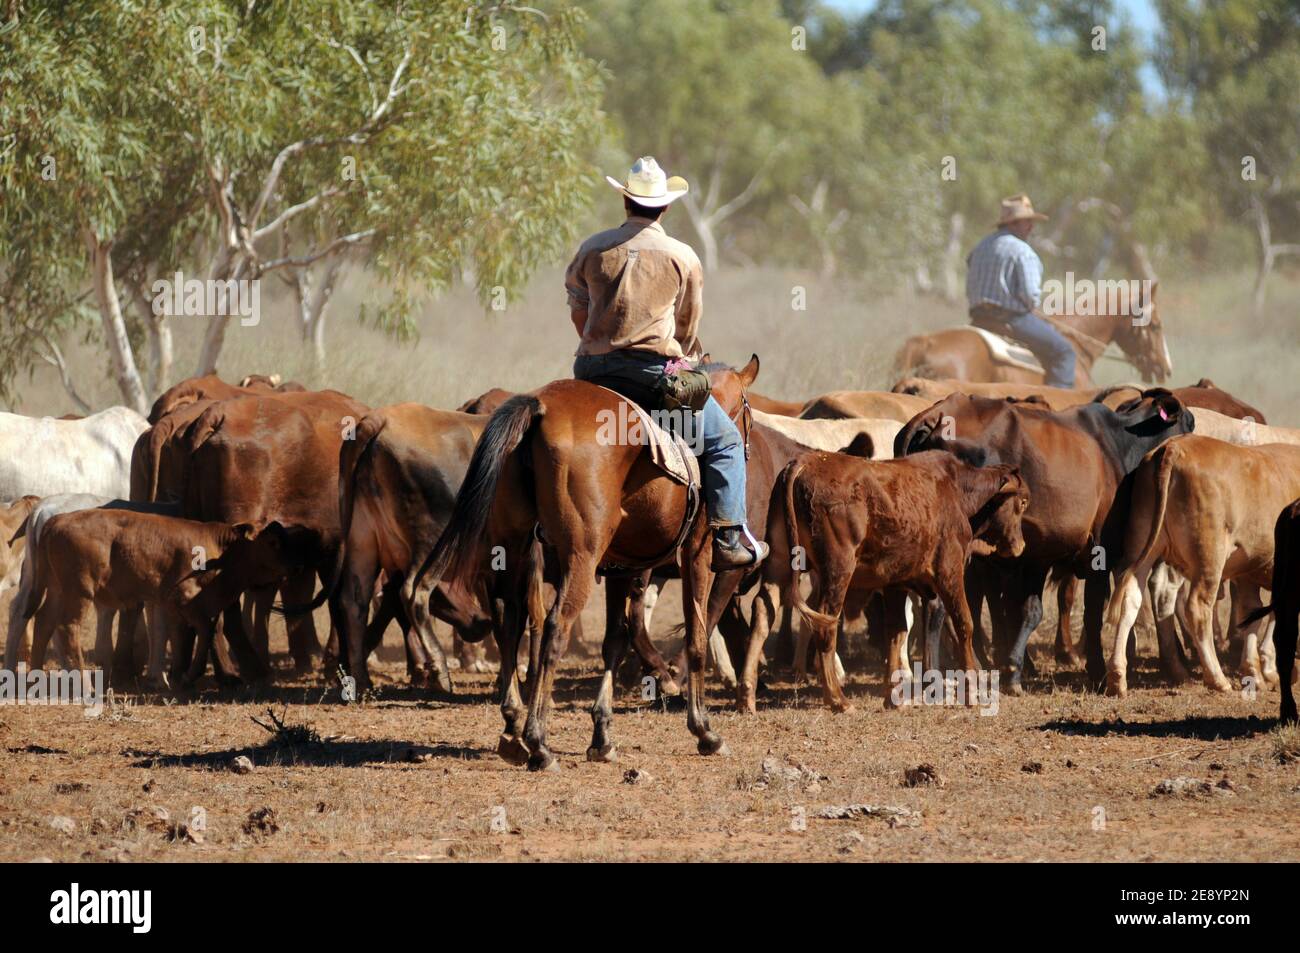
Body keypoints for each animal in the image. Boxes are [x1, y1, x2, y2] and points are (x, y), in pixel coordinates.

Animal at [738, 447, 1029, 713]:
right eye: (1023, 502)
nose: (1020, 546)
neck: (957, 490)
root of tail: (805, 462)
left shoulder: (895, 583)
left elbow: (896, 632)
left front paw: (894, 698)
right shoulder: (949, 571)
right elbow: (964, 625)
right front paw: (972, 693)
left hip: (779, 560)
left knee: (763, 611)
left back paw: (747, 695)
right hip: (838, 568)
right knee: (824, 624)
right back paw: (838, 699)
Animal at [1102, 437, 1300, 696]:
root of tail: (1173, 446)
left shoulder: (1250, 570)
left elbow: (1254, 612)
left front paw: (1256, 672)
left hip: (1143, 542)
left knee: (1132, 598)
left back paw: (1118, 678)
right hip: (1210, 555)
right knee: (1197, 608)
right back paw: (1217, 679)